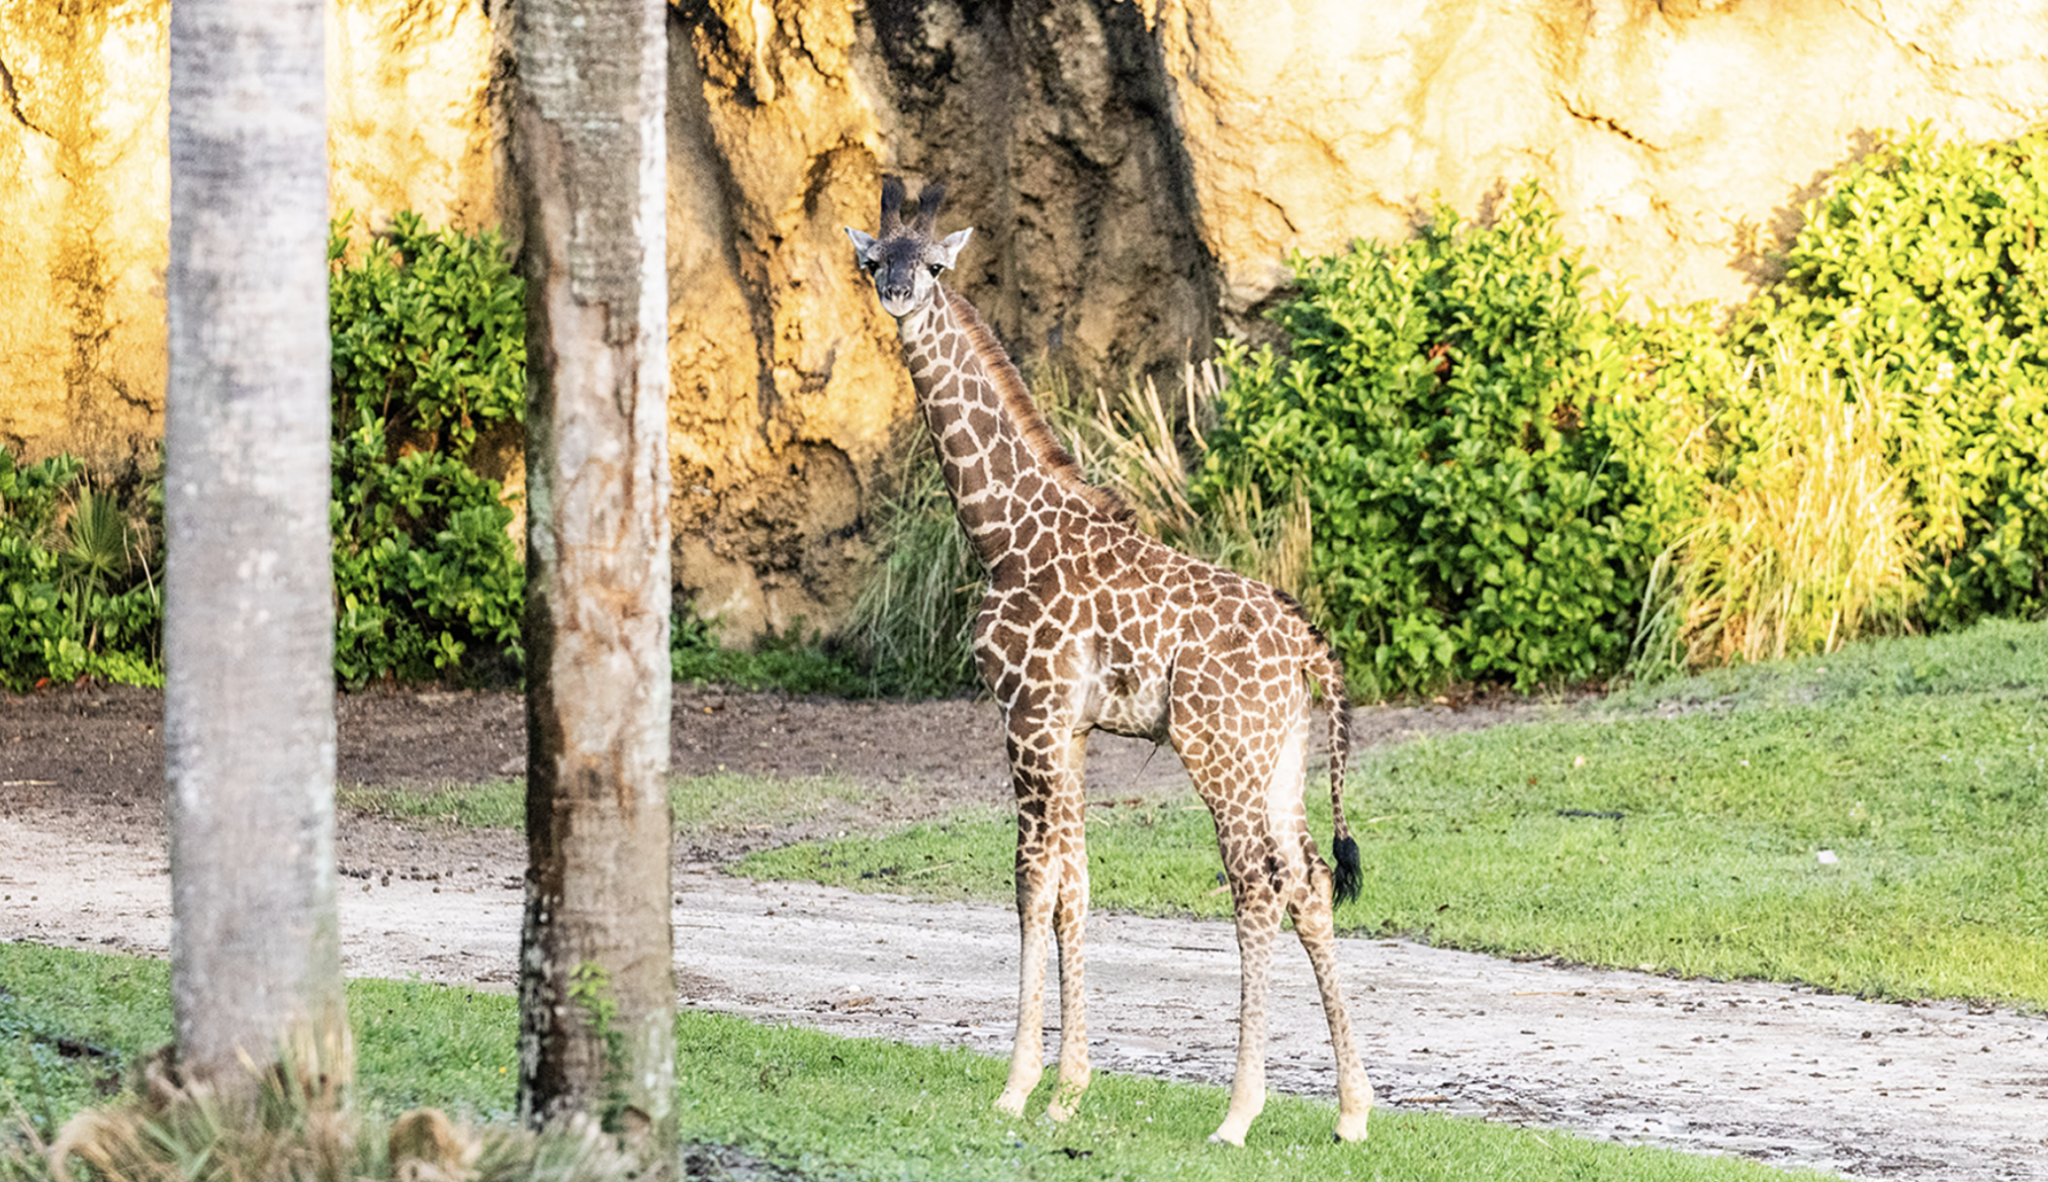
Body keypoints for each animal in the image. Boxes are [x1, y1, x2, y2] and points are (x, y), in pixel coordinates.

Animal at [846, 177, 1373, 1146]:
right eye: (875, 261)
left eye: (933, 265)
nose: (898, 296)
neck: (1001, 535)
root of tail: (1308, 648)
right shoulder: (1074, 727)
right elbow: (1076, 884)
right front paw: (1068, 1091)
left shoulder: (1027, 711)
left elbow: (1032, 883)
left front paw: (1020, 1089)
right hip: (1280, 755)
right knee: (1311, 881)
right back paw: (1352, 1113)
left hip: (1219, 751)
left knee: (1256, 887)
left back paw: (1237, 1115)